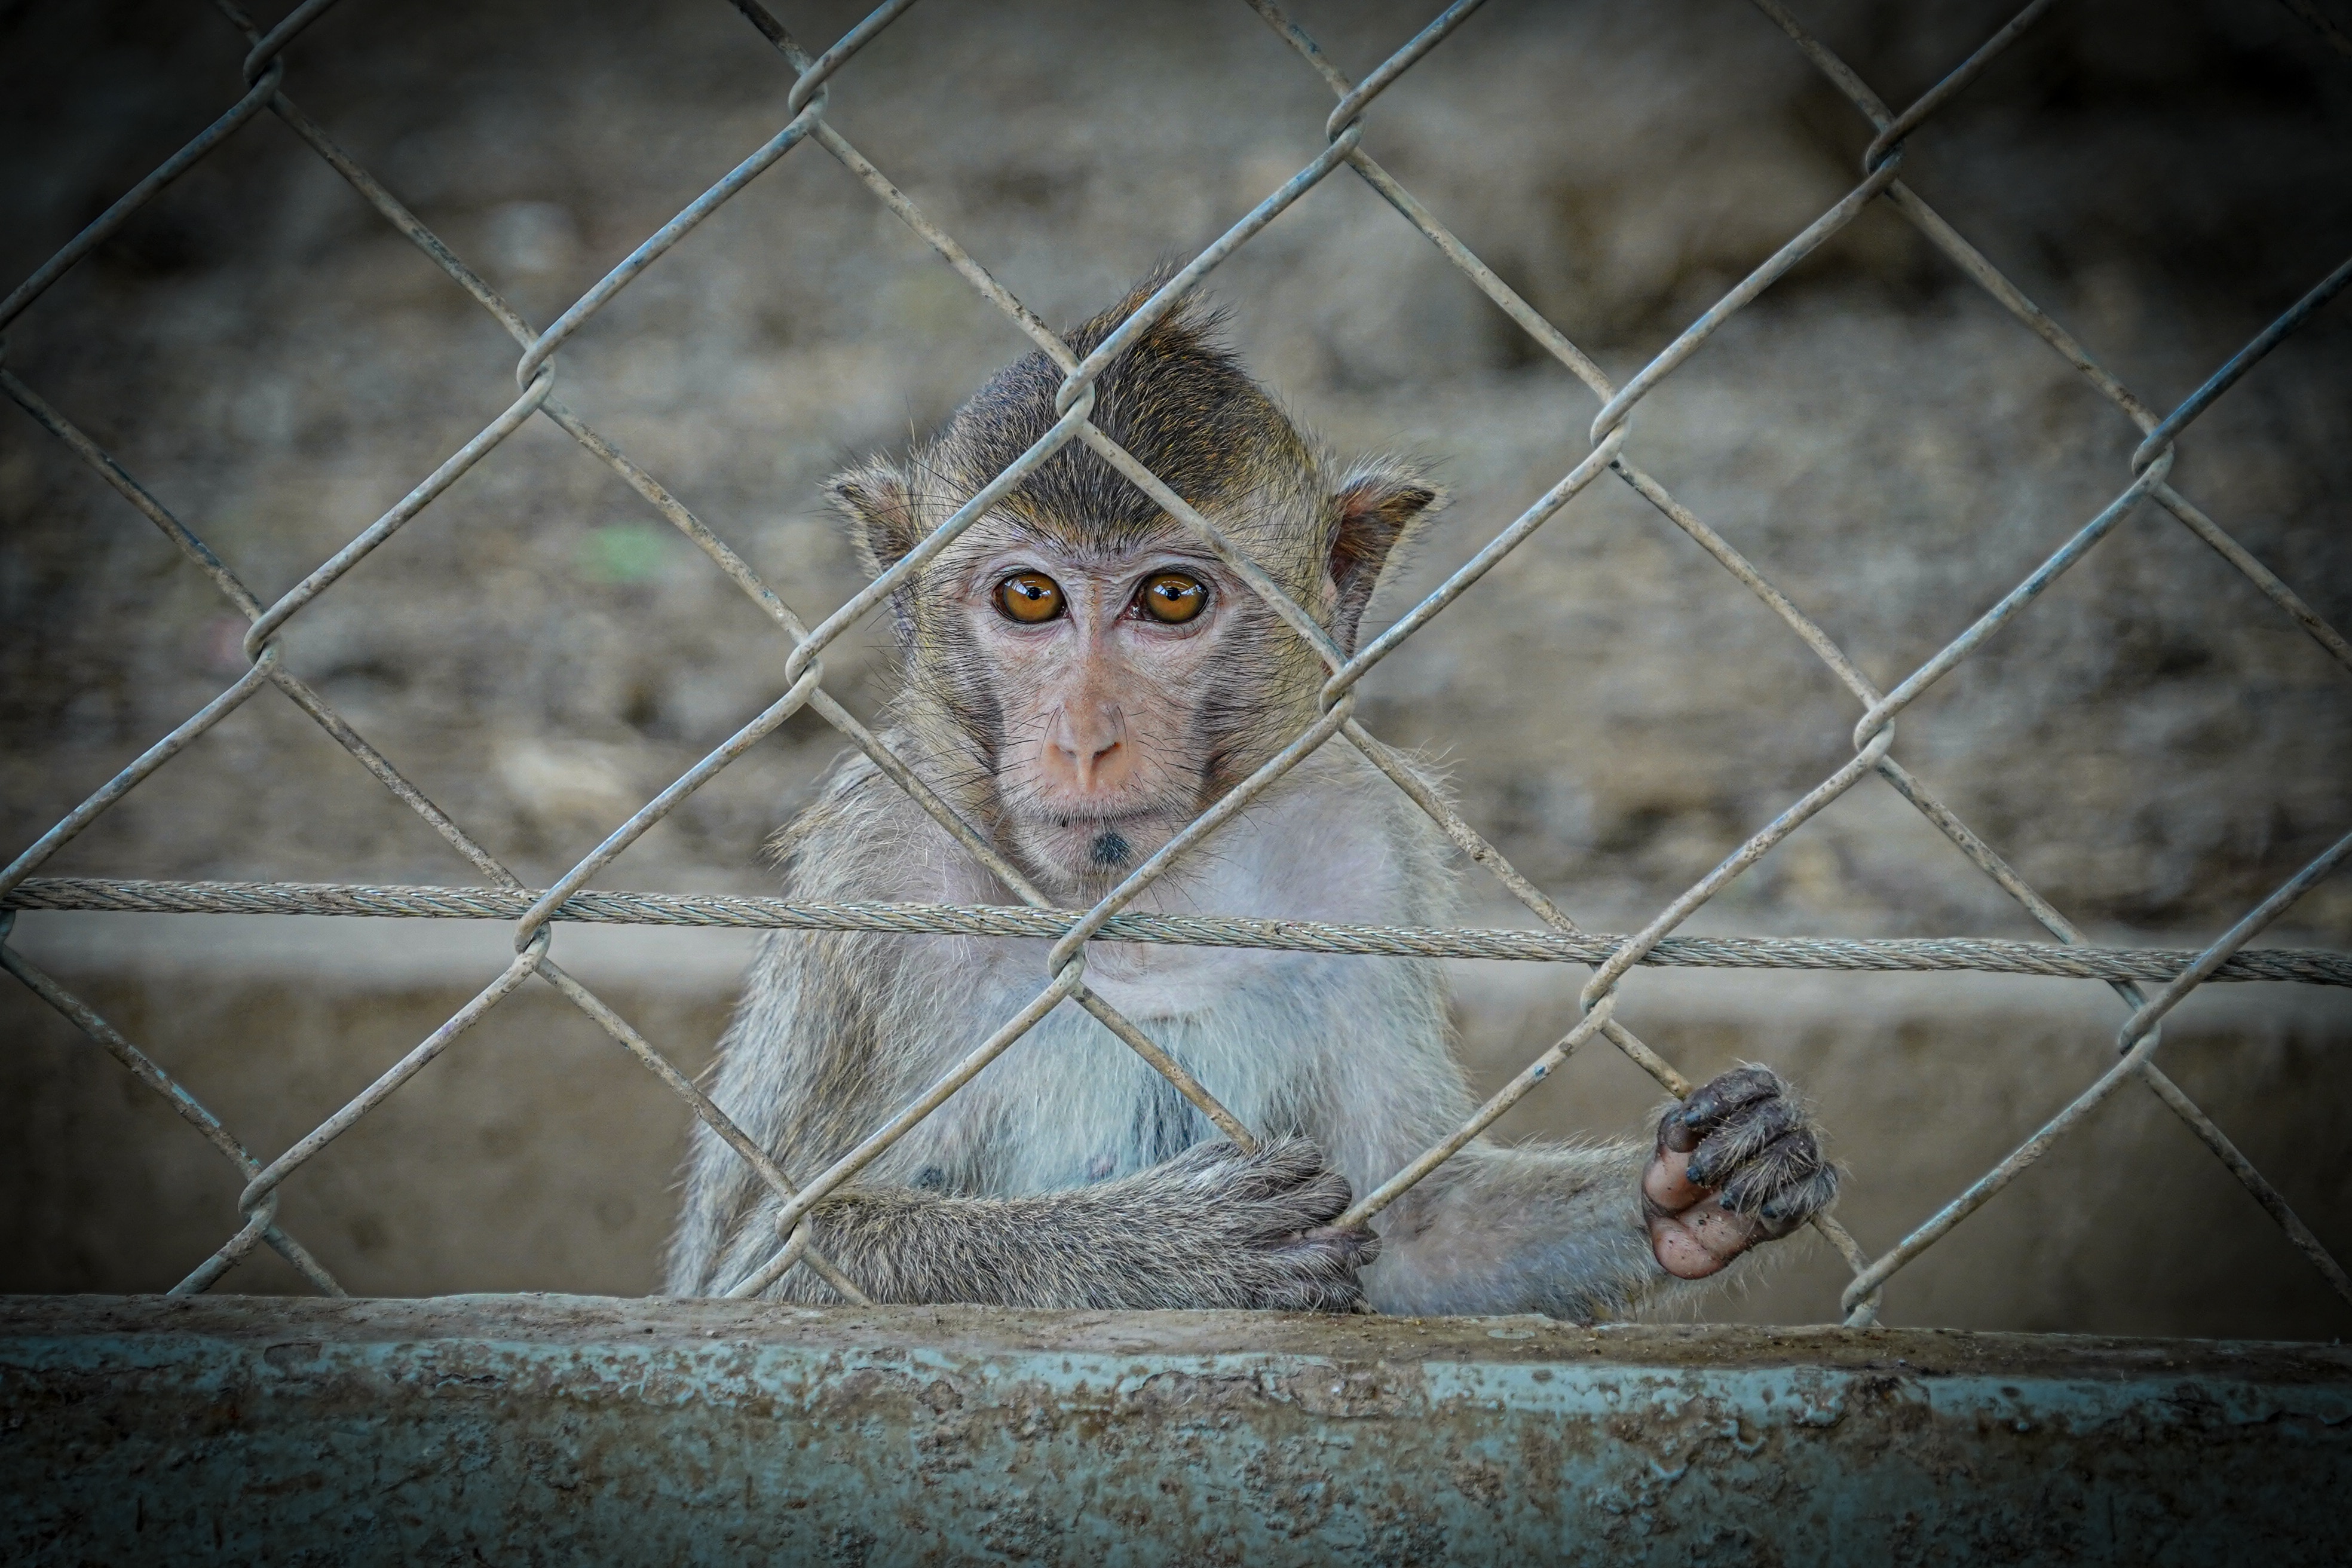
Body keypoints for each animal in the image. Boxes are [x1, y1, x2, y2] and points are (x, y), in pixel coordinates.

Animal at [666, 277, 1838, 1317]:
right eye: (1030, 597)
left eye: (1171, 598)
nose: (1086, 739)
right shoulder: (872, 887)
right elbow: (761, 1266)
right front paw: (1167, 1248)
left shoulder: (1365, 861)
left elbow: (1425, 1240)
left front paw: (1702, 1182)